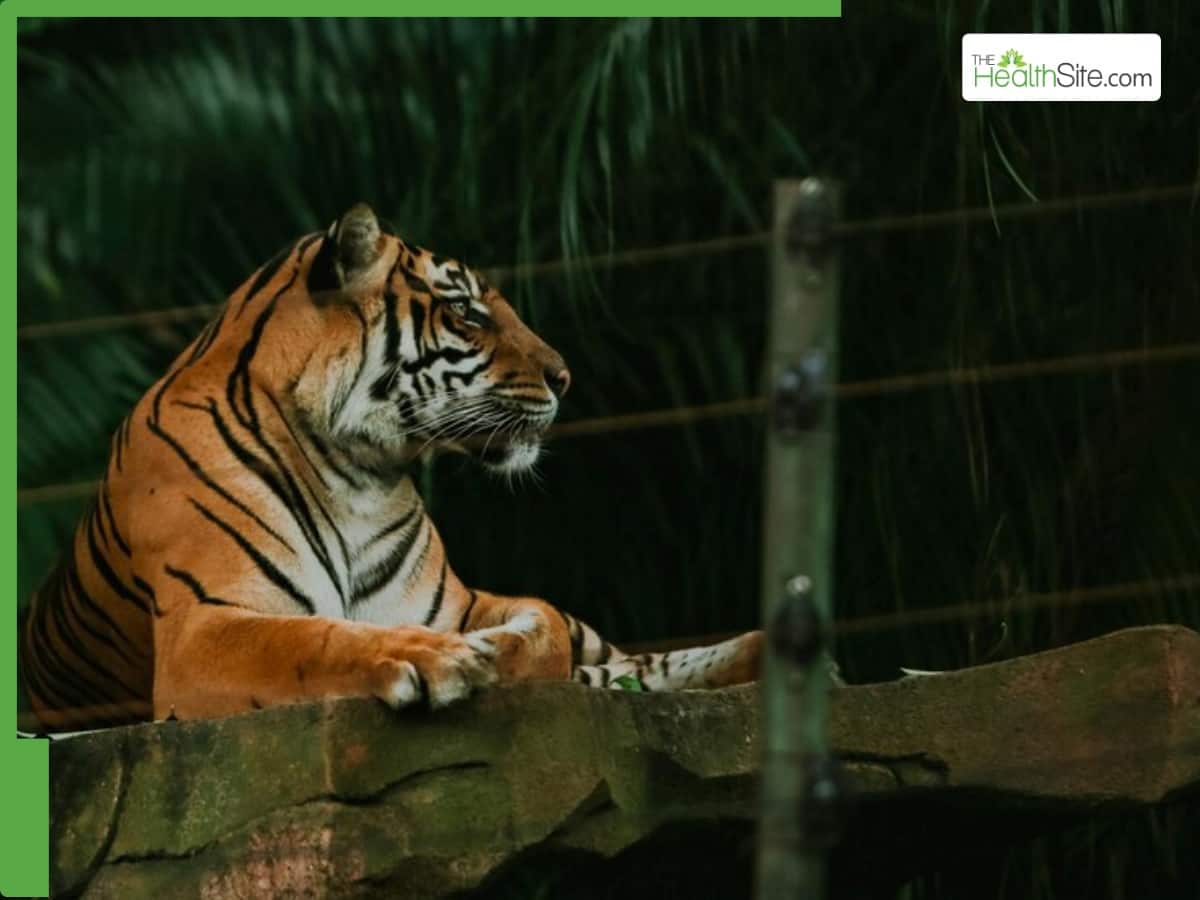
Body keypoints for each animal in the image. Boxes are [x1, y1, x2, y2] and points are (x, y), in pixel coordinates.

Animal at [19, 203, 764, 734]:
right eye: (466, 311)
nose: (565, 377)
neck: (353, 475)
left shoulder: (456, 602)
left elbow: (547, 625)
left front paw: (499, 655)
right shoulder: (204, 628)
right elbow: (313, 638)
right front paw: (432, 658)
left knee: (629, 657)